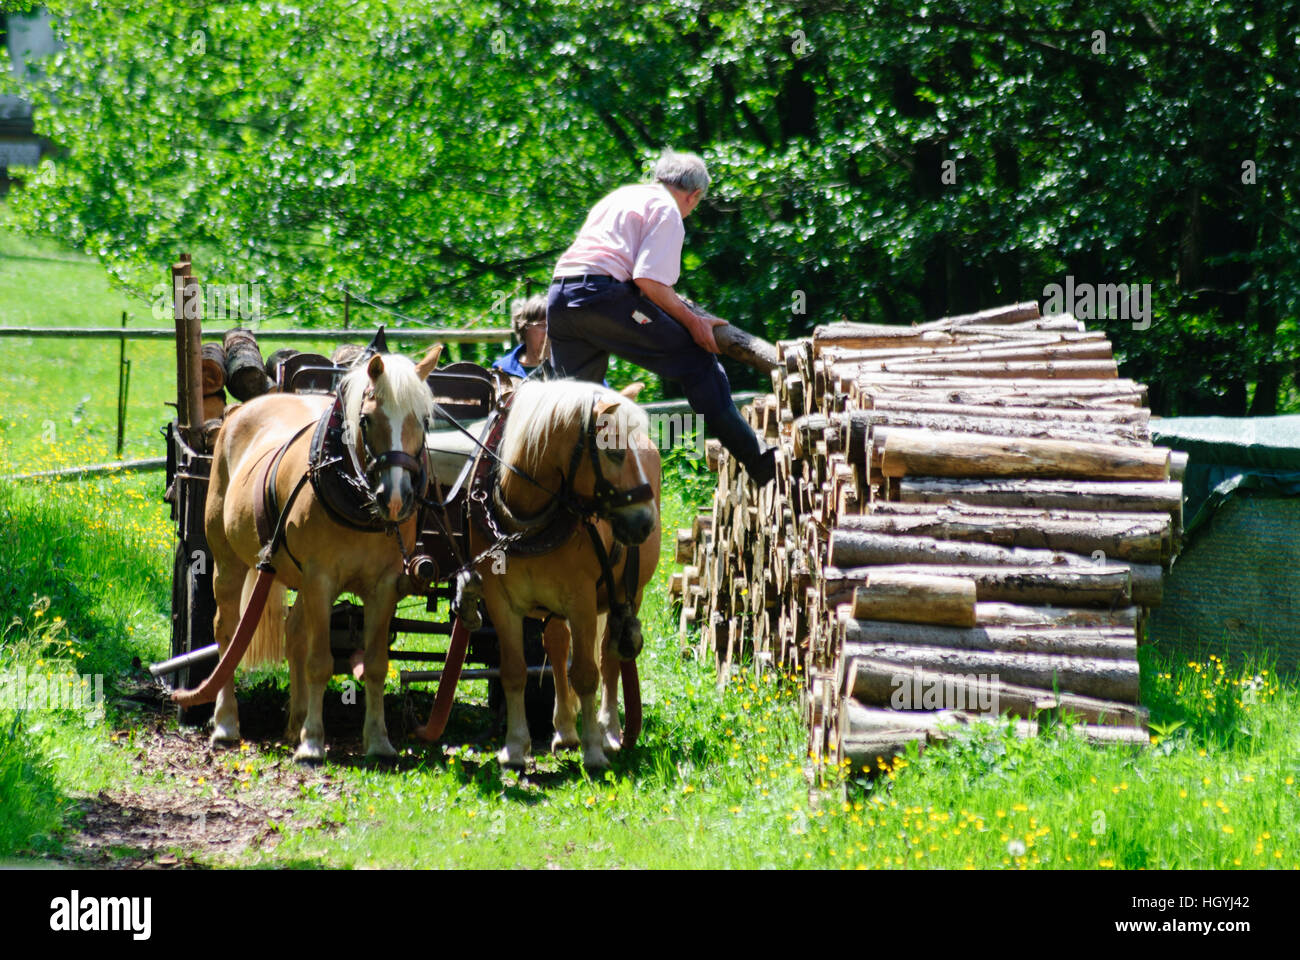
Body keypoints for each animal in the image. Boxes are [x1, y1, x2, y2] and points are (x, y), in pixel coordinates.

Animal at [194, 345, 441, 762]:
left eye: (422, 420)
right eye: (367, 419)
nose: (395, 498)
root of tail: (240, 412)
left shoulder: (384, 586)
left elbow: (375, 664)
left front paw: (378, 741)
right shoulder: (320, 579)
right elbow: (320, 662)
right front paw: (312, 743)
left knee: (293, 633)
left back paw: (294, 722)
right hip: (229, 562)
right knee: (227, 633)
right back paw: (226, 722)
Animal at [470, 378, 661, 771]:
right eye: (615, 452)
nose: (646, 522)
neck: (526, 525)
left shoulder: (583, 601)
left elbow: (587, 673)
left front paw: (593, 750)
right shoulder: (501, 602)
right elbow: (513, 671)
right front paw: (515, 747)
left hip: (627, 595)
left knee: (609, 656)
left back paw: (609, 730)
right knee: (557, 648)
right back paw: (565, 730)